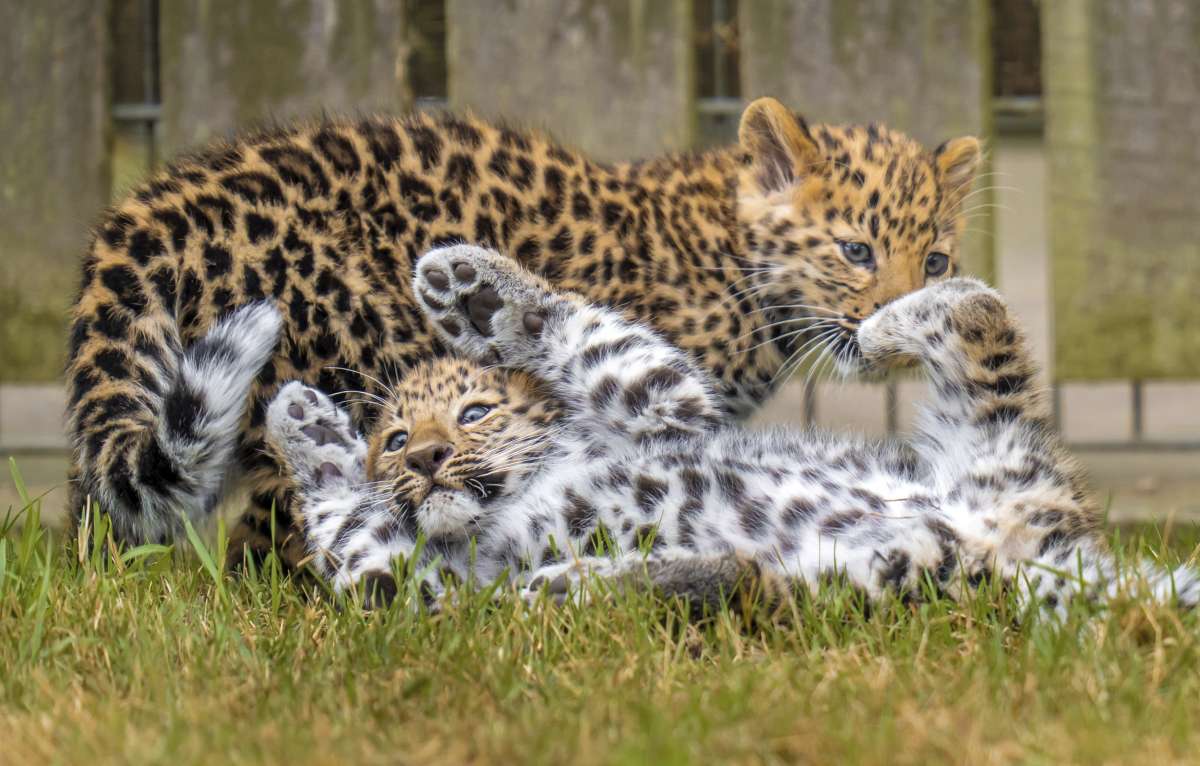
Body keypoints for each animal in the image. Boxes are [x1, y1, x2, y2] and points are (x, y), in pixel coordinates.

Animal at [265, 244, 1200, 618]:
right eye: (396, 441)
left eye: (474, 414)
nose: (428, 458)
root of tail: (1046, 543)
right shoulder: (414, 589)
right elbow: (352, 527)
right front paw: (301, 419)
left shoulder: (668, 406)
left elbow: (587, 336)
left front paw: (477, 293)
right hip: (890, 566)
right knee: (748, 580)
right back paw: (581, 584)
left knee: (977, 305)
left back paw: (877, 330)